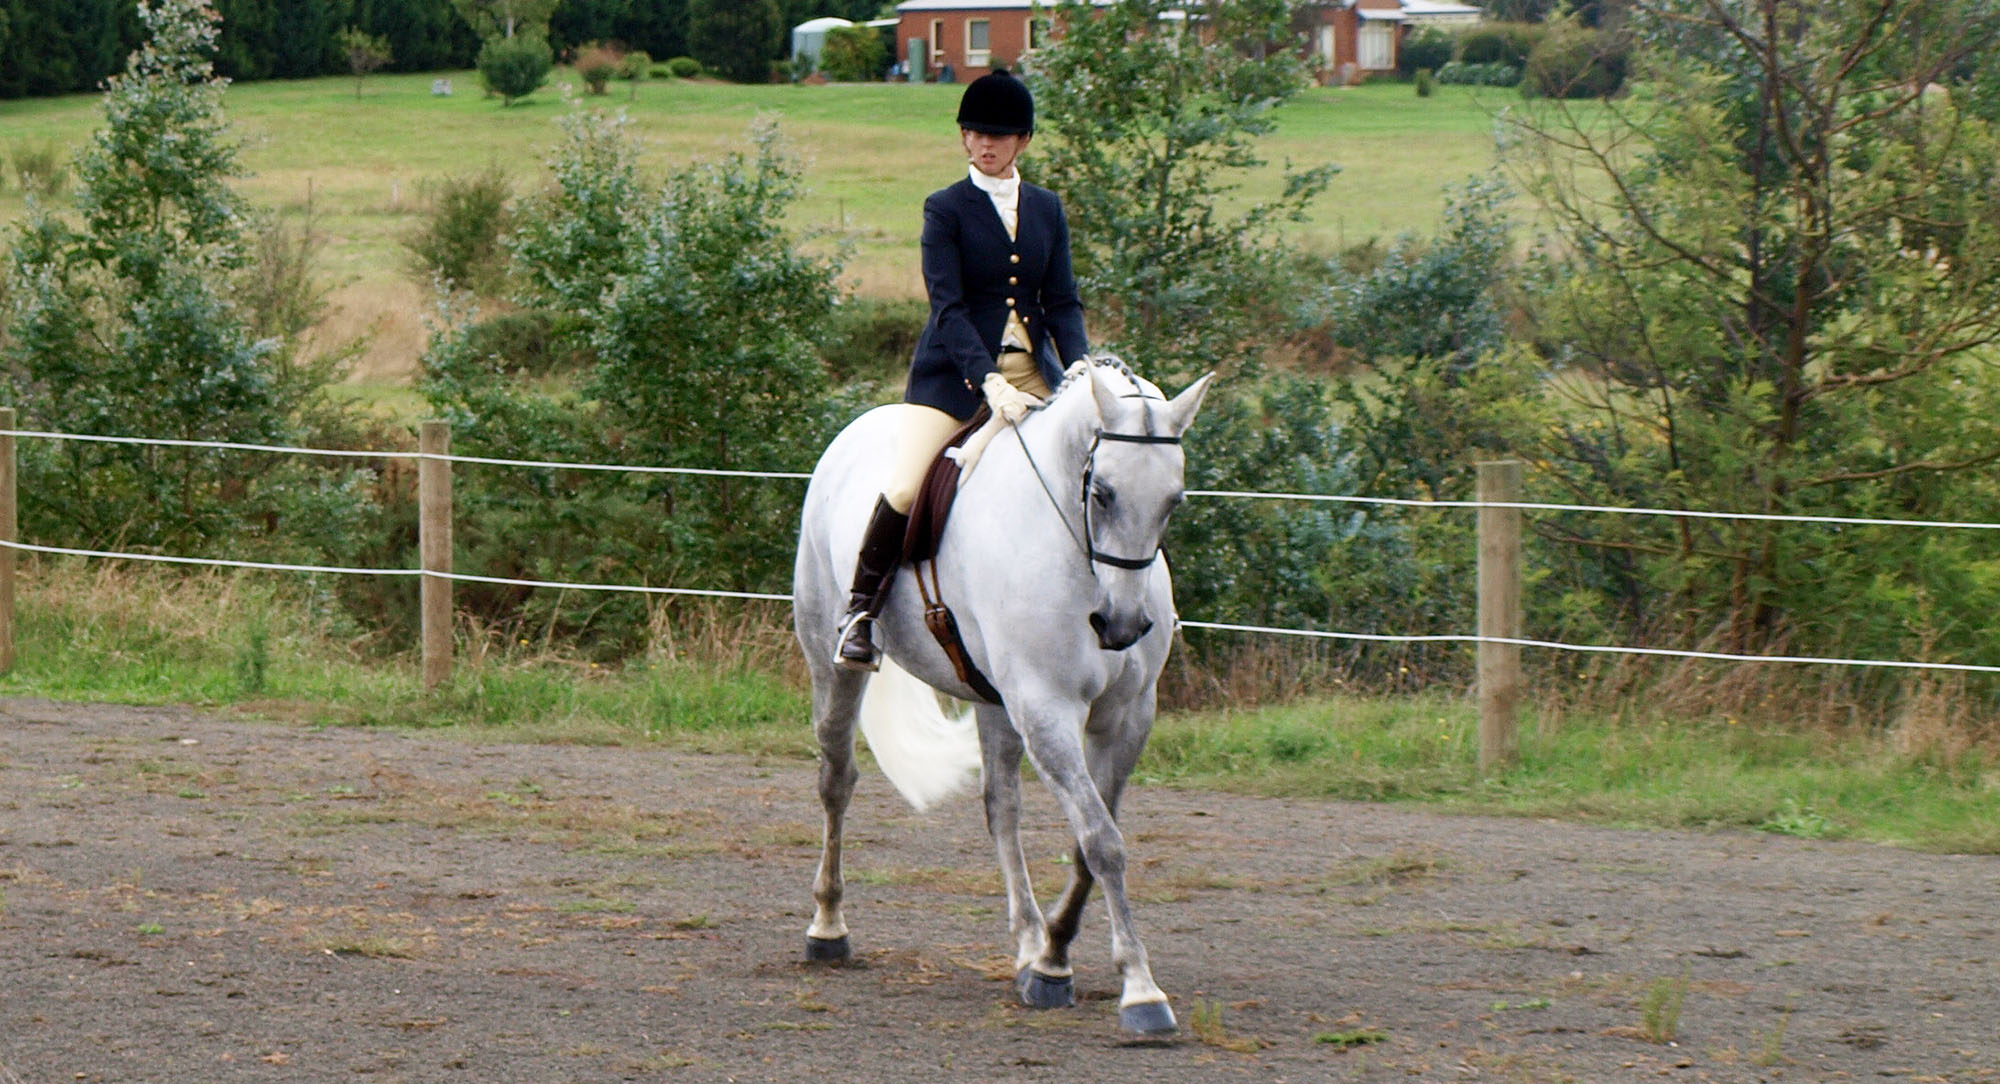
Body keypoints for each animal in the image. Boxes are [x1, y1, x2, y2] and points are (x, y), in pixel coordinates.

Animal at [791, 356, 1213, 1037]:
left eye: (1174, 500)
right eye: (1103, 492)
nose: (1121, 625)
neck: (1076, 551)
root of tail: (859, 428)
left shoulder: (1126, 719)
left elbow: (1088, 843)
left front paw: (1054, 956)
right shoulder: (1046, 709)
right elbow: (1103, 842)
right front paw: (1141, 993)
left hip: (993, 700)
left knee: (1001, 808)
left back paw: (1029, 944)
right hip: (832, 664)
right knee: (836, 780)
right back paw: (828, 927)